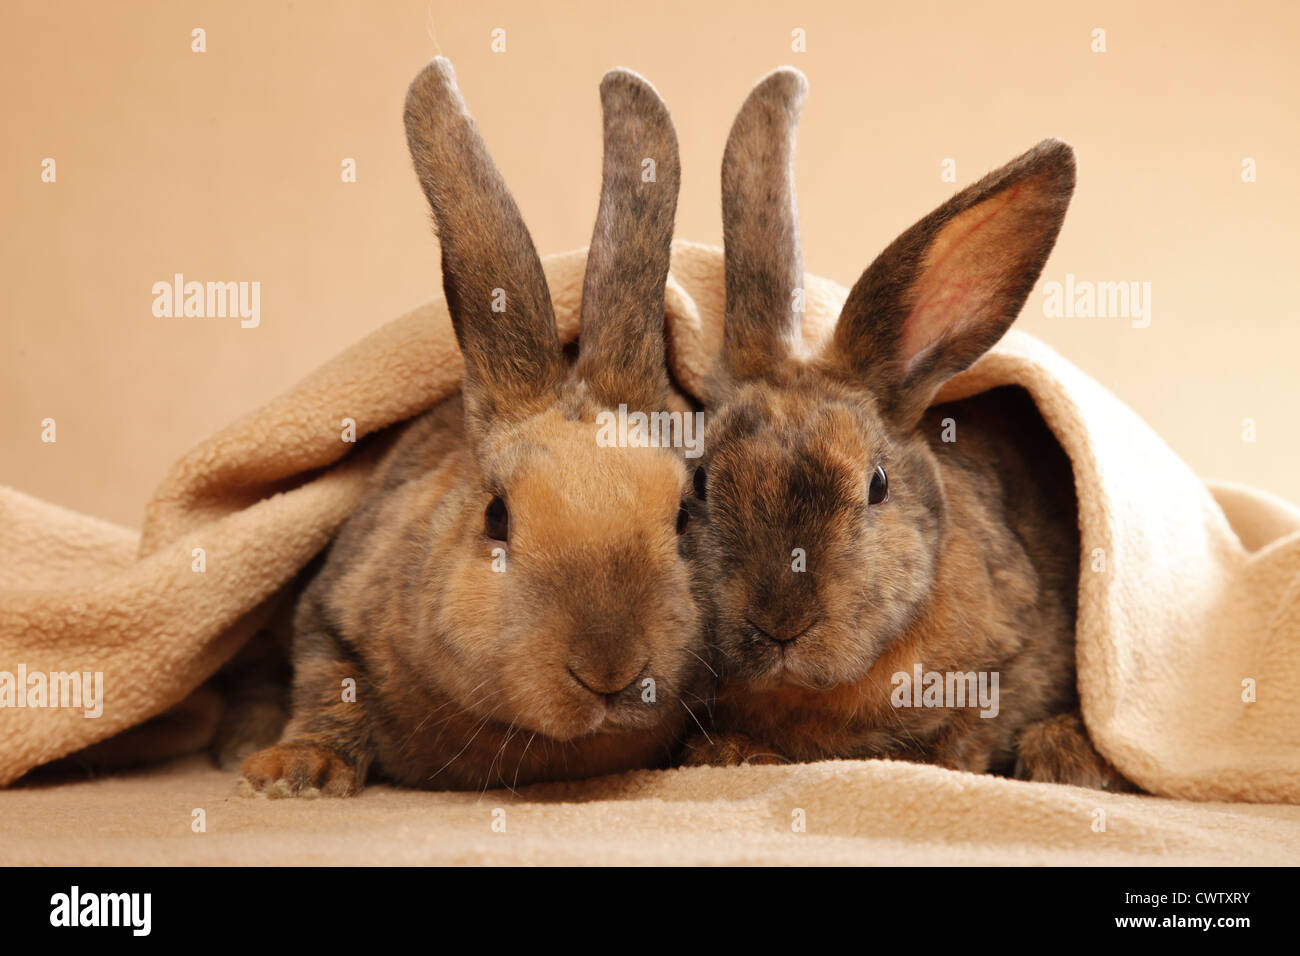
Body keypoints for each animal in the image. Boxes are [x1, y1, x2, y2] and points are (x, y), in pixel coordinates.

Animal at [239, 58, 709, 797]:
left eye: (687, 516)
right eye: (496, 517)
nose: (609, 671)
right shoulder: (326, 614)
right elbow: (327, 687)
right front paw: (296, 773)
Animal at [678, 67, 1133, 791]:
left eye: (878, 486)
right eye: (699, 482)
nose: (781, 623)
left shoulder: (1001, 667)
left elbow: (962, 741)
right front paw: (729, 755)